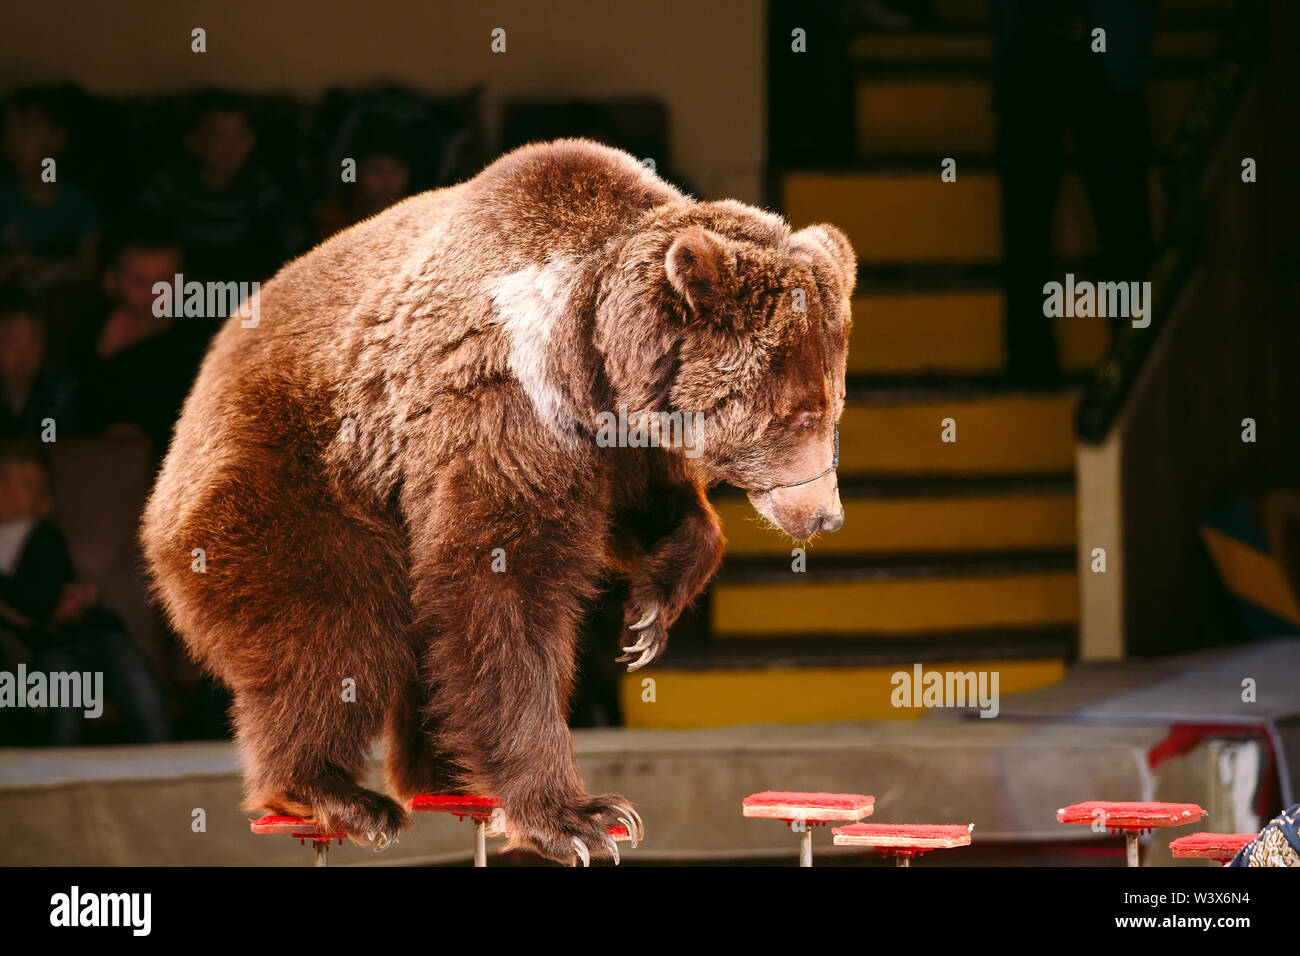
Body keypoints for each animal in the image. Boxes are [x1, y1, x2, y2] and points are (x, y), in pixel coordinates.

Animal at [140, 139, 855, 865]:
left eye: (835, 406)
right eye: (802, 413)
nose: (826, 515)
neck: (589, 352)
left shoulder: (613, 435)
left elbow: (650, 506)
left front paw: (648, 617)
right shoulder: (503, 406)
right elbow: (501, 583)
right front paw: (580, 815)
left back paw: (440, 771)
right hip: (294, 478)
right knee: (332, 624)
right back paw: (336, 793)